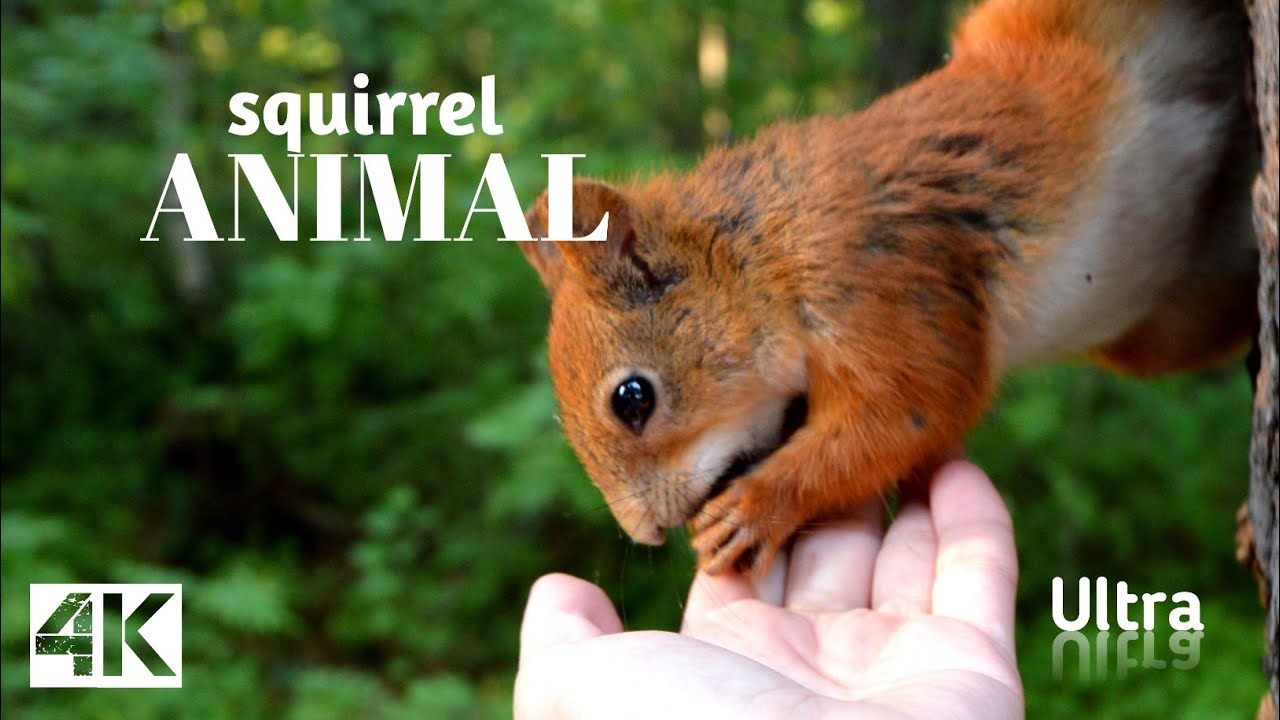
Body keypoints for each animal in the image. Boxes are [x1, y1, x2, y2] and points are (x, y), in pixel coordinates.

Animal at [517, 0, 1259, 575]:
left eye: (633, 399)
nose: (645, 533)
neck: (765, 254)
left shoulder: (875, 277)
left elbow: (913, 407)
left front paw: (756, 508)